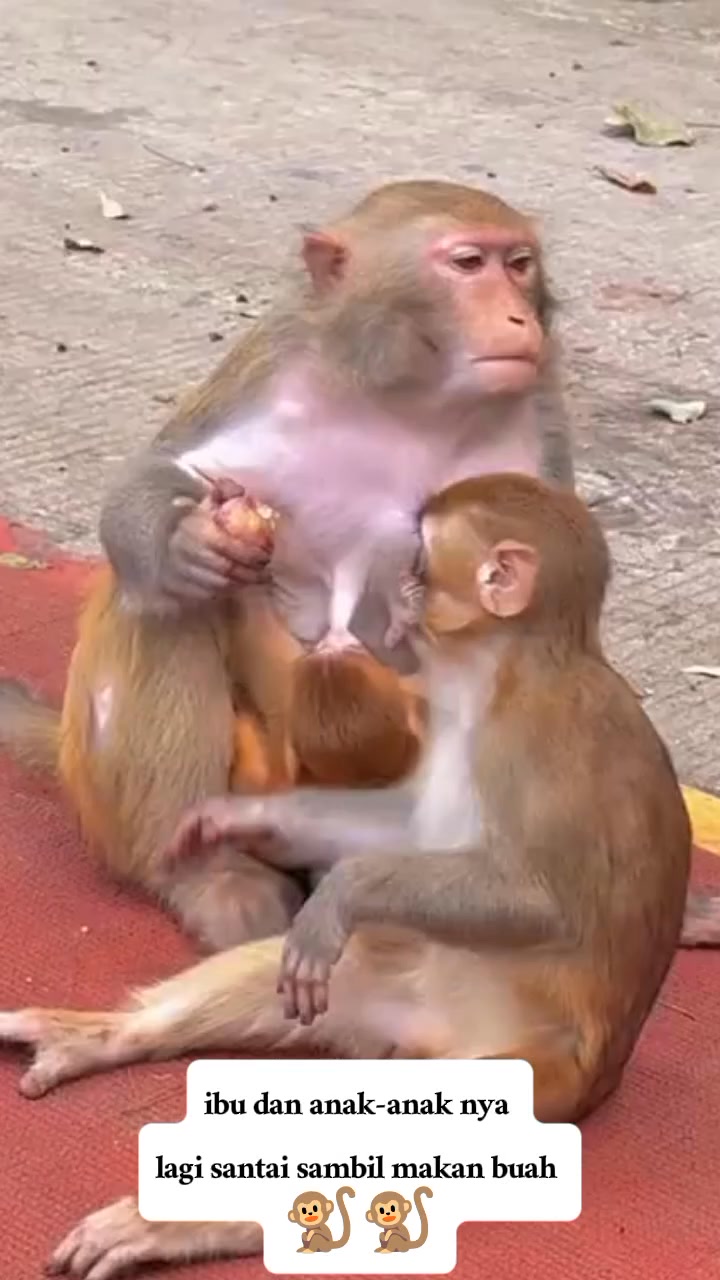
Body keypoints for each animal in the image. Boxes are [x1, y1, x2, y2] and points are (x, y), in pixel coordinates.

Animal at [0, 179, 580, 954]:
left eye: (519, 264)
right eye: (466, 264)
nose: (518, 315)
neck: (410, 401)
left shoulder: (537, 416)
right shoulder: (273, 367)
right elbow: (163, 473)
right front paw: (180, 545)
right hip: (212, 779)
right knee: (165, 605)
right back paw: (204, 877)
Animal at [0, 475, 692, 1279]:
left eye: (420, 559)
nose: (394, 595)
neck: (505, 672)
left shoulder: (540, 741)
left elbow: (541, 902)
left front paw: (342, 892)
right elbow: (409, 829)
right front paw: (243, 821)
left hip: (511, 1084)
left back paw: (171, 1222)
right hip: (387, 998)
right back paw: (101, 1039)